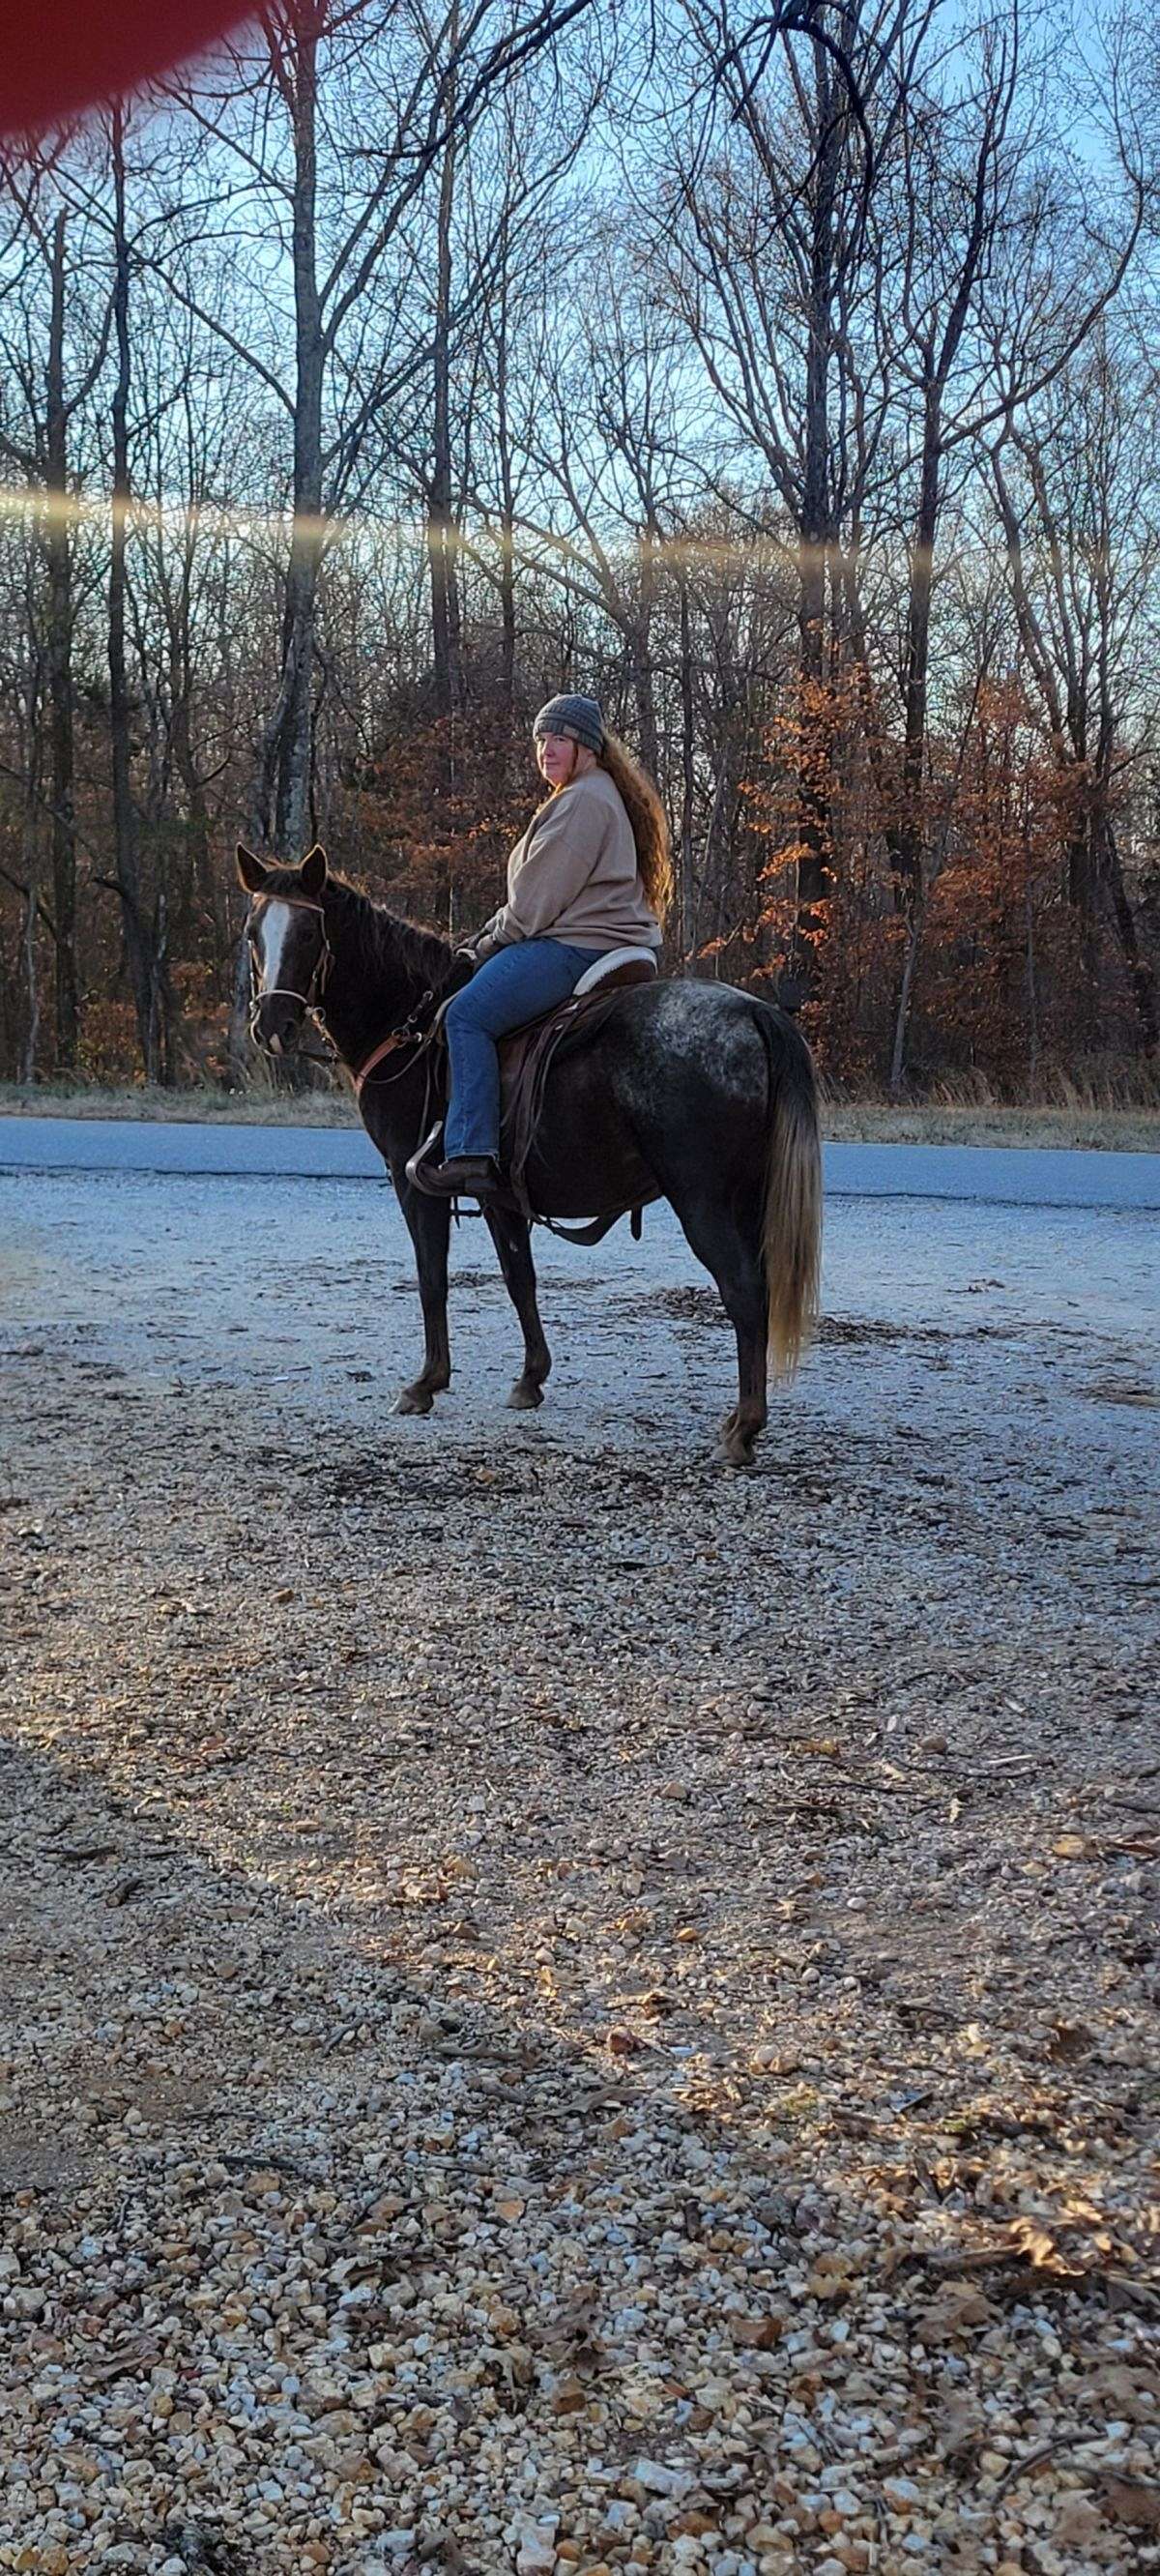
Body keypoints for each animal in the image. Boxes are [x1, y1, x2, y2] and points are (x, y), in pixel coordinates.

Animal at [237, 842, 822, 1465]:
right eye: (252, 932)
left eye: (308, 933)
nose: (271, 1025)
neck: (411, 1026)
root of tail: (755, 1013)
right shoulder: (499, 1196)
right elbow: (521, 1277)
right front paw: (530, 1378)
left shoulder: (410, 1180)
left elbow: (431, 1277)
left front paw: (426, 1383)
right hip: (746, 1198)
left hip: (703, 1201)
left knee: (743, 1291)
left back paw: (743, 1429)